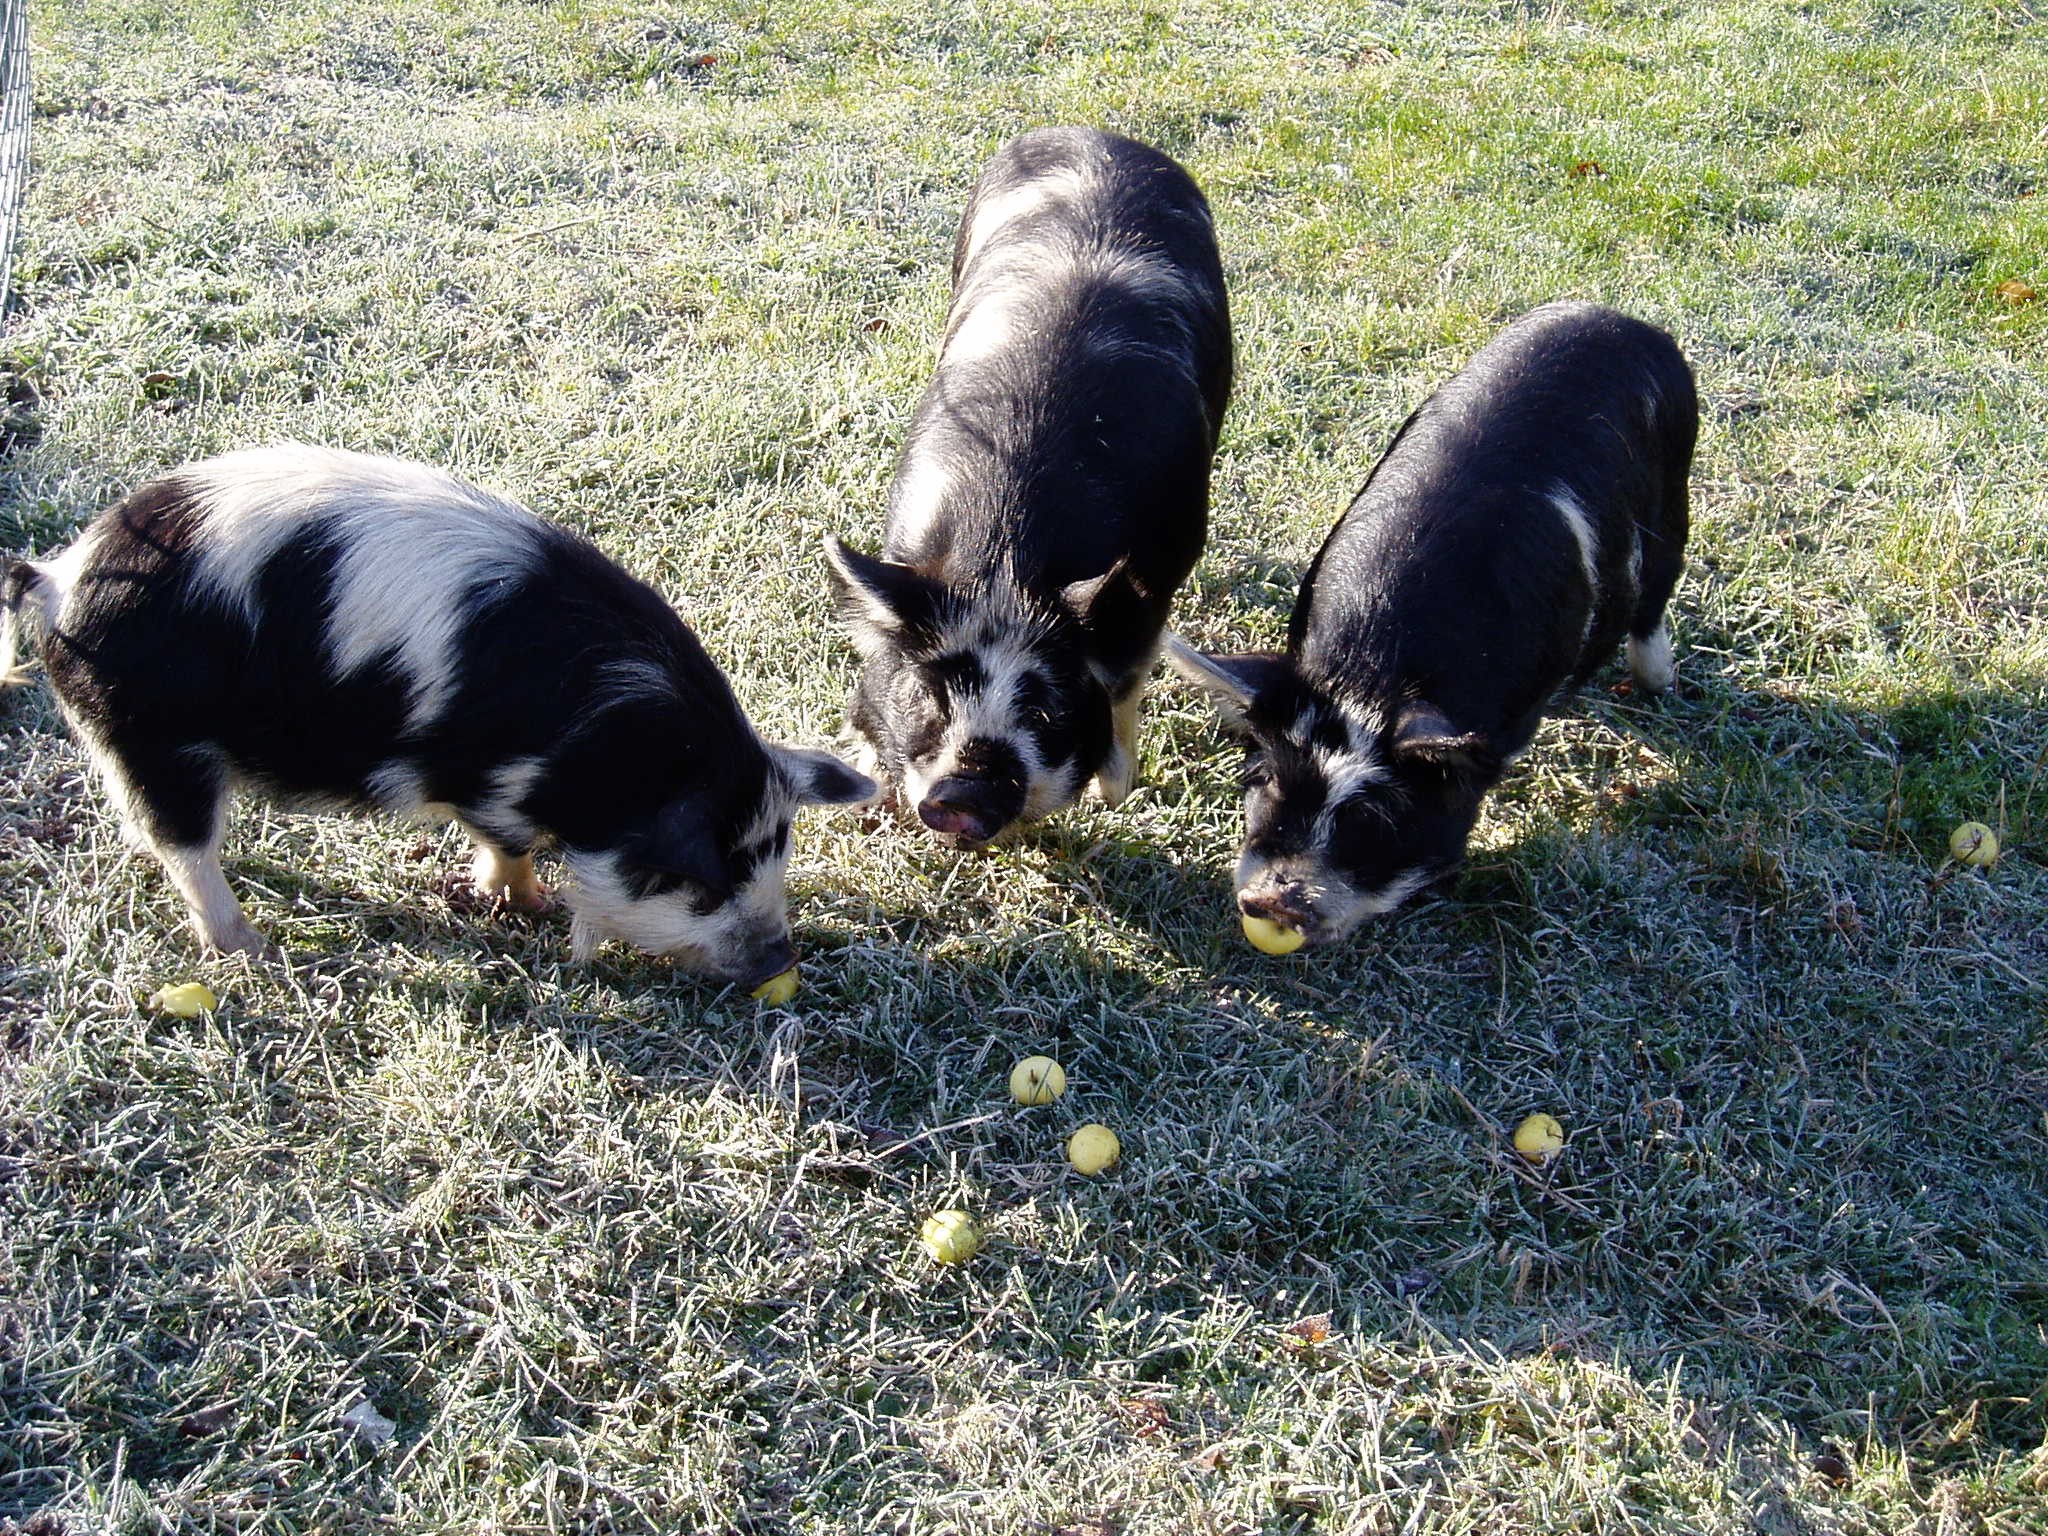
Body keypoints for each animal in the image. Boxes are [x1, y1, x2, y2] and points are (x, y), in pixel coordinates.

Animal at [0, 445, 873, 983]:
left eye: (779, 851)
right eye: (696, 882)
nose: (779, 960)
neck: (612, 752)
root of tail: (61, 577)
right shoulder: (490, 779)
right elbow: (509, 842)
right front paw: (527, 905)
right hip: (154, 736)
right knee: (183, 845)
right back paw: (253, 951)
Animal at [825, 126, 1232, 848]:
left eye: (1045, 708)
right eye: (928, 695)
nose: (962, 794)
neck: (1004, 558)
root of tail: (1098, 133)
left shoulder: (1151, 591)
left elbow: (1125, 694)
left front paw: (1109, 795)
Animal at [1168, 301, 1696, 945]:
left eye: (1378, 814)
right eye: (1267, 778)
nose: (1271, 901)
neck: (1372, 676)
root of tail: (1619, 318)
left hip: (1675, 485)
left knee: (1657, 589)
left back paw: (1659, 684)